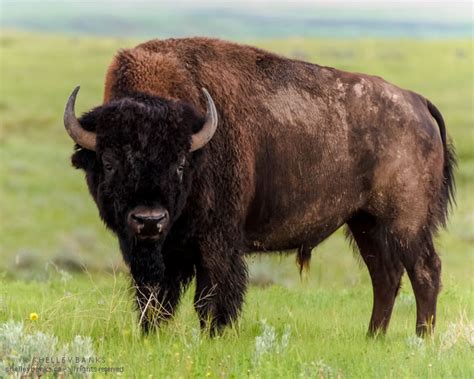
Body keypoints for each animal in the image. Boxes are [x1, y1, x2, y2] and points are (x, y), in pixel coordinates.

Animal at [64, 37, 456, 336]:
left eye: (179, 164)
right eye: (109, 162)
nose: (149, 220)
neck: (198, 142)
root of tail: (417, 101)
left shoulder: (218, 243)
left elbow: (212, 297)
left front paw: (215, 335)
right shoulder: (159, 251)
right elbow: (154, 297)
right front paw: (151, 334)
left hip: (406, 223)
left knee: (425, 272)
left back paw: (420, 340)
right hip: (365, 223)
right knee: (385, 277)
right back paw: (373, 338)